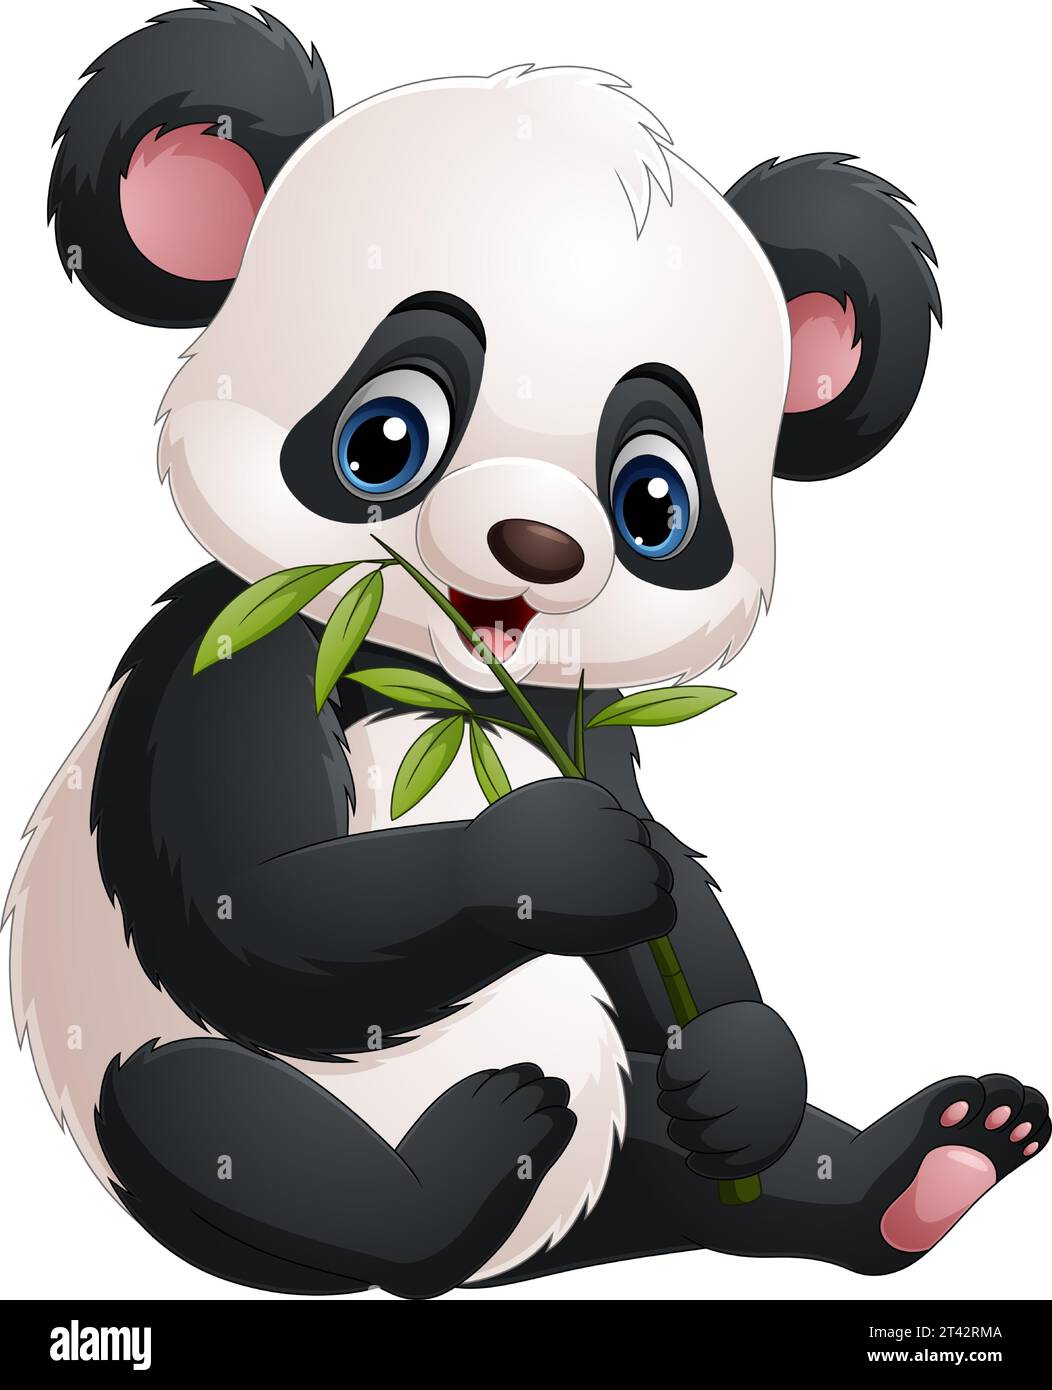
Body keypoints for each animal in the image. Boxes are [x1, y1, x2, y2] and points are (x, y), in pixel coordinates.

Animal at [5, 1, 1046, 1299]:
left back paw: (919, 1169)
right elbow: (255, 905)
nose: (538, 546)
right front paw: (550, 857)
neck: (445, 679)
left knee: (694, 1149)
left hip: (640, 1129)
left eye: (653, 498)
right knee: (222, 1122)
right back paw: (464, 1158)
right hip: (162, 1078)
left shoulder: (584, 720)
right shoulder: (235, 661)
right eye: (382, 437)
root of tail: (548, 1248)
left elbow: (676, 918)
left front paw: (743, 1062)